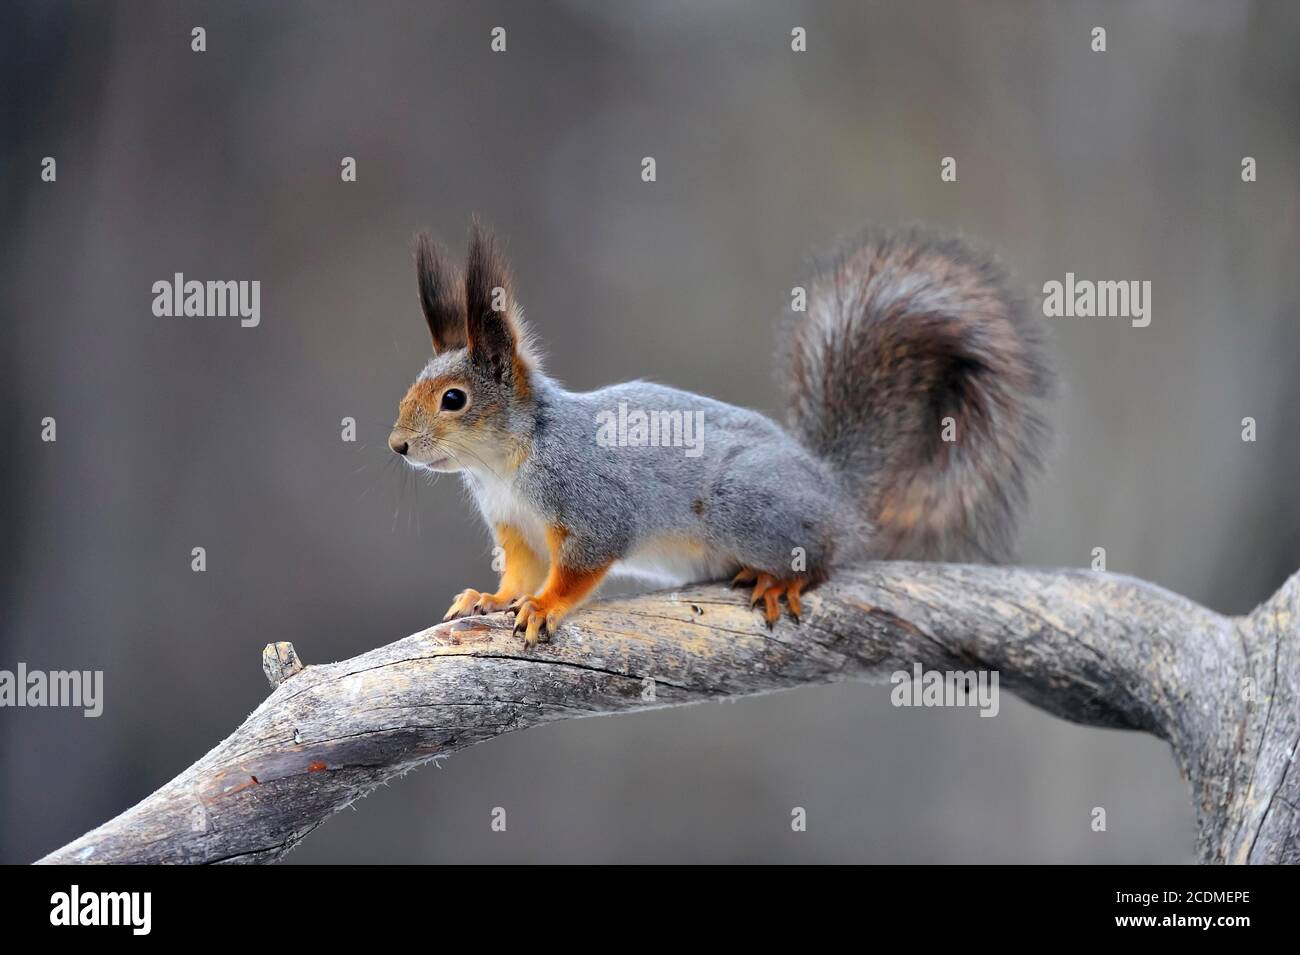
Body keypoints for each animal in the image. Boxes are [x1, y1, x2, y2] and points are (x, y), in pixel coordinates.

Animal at [389, 221, 1053, 645]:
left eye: (454, 399)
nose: (397, 446)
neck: (505, 462)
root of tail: (833, 487)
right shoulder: (516, 528)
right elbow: (522, 571)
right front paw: (492, 599)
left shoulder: (591, 502)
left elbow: (579, 565)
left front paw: (544, 606)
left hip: (750, 506)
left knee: (825, 553)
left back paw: (781, 579)